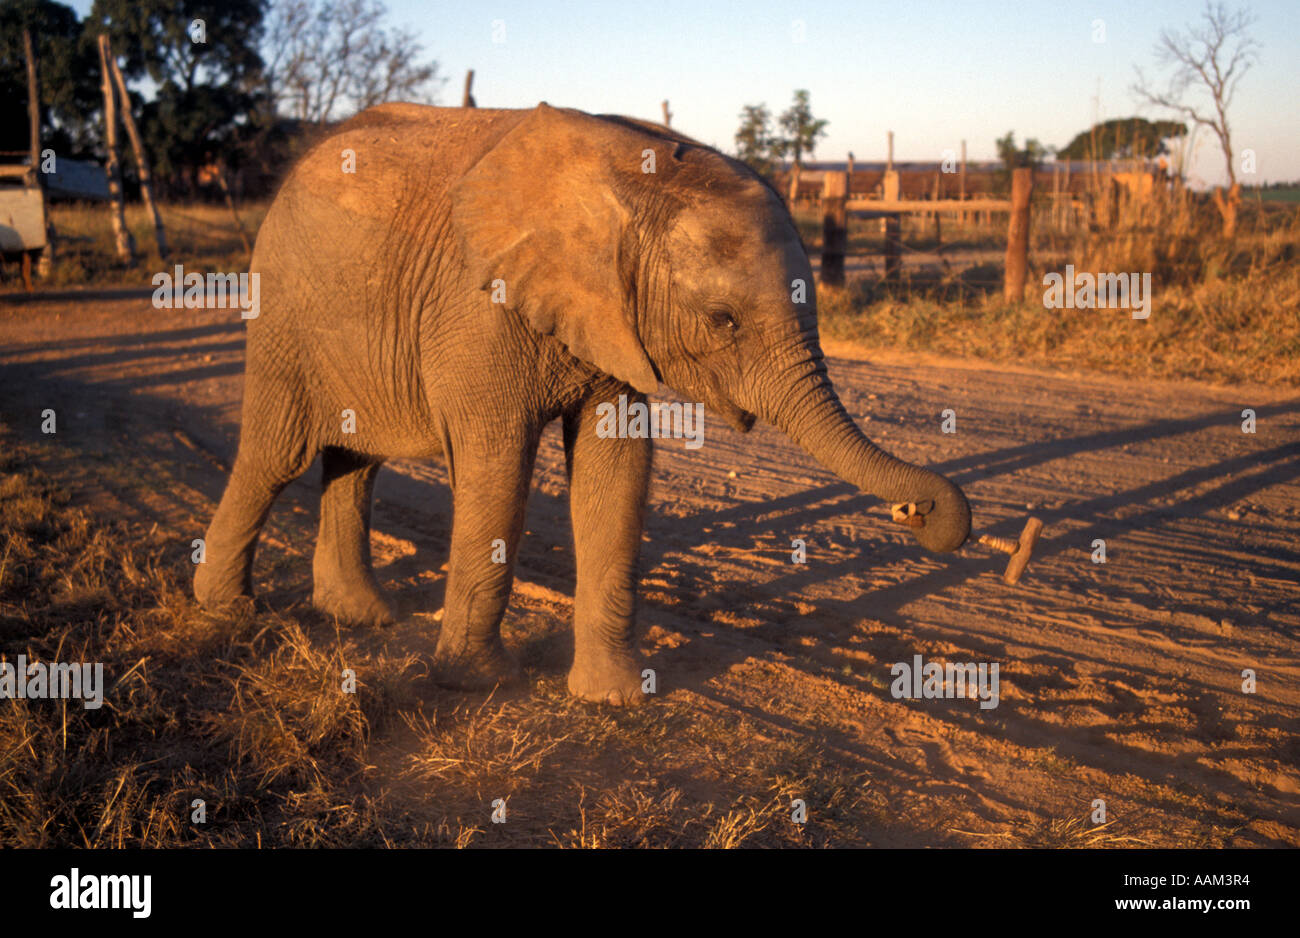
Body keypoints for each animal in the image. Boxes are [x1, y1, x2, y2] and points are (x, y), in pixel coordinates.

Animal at [193, 101, 971, 705]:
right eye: (723, 321)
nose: (918, 512)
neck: (640, 177)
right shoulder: (478, 308)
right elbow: (498, 475)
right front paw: (480, 685)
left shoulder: (616, 323)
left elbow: (616, 474)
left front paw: (615, 698)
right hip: (283, 308)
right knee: (275, 456)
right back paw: (225, 609)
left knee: (355, 461)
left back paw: (361, 618)